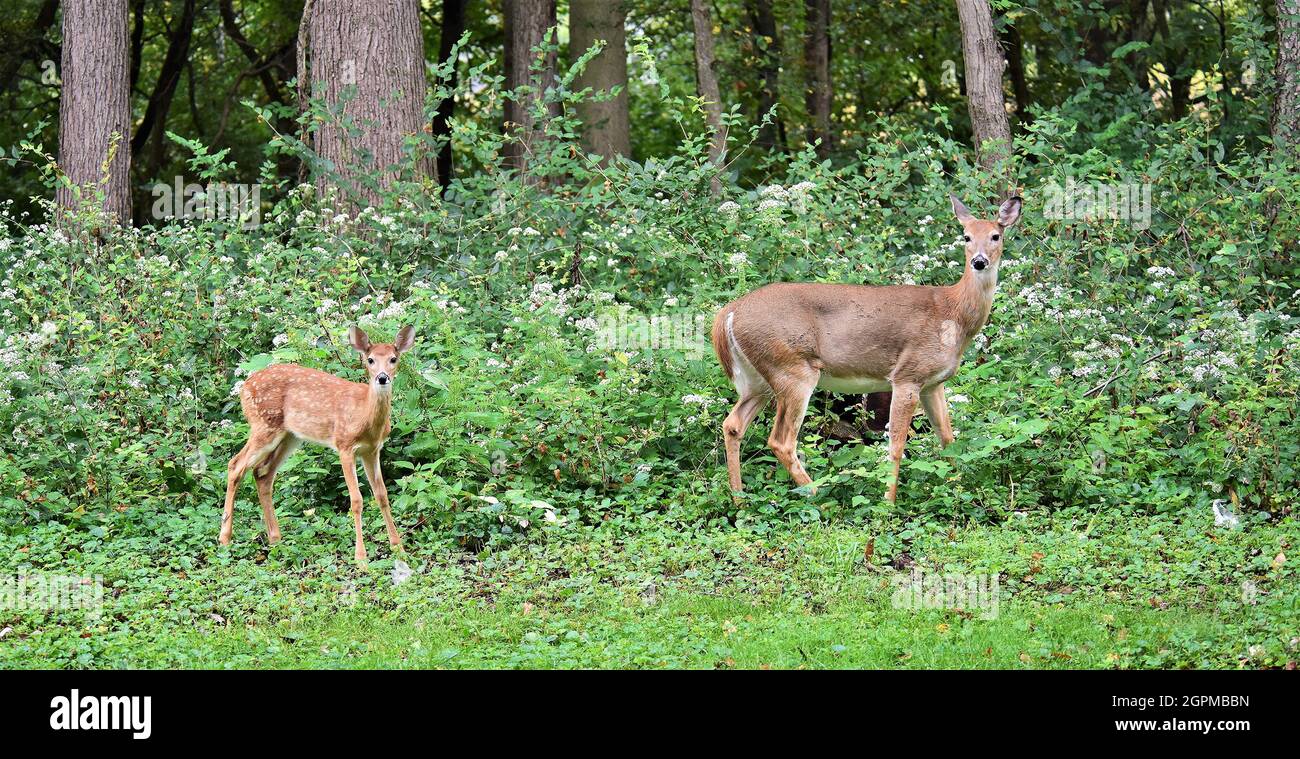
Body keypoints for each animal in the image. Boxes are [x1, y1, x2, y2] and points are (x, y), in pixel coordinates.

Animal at [219, 325, 416, 566]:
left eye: (393, 359)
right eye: (370, 360)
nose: (382, 378)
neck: (364, 416)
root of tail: (243, 387)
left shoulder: (372, 450)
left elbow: (382, 495)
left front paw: (399, 548)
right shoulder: (344, 445)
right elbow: (356, 500)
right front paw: (361, 558)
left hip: (290, 436)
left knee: (262, 473)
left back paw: (275, 538)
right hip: (263, 425)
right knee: (235, 465)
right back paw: (225, 538)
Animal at [711, 195, 1022, 503]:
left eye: (995, 235)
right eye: (966, 236)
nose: (979, 261)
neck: (952, 312)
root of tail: (729, 313)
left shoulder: (933, 383)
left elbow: (948, 438)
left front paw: (957, 489)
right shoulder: (907, 375)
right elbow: (896, 444)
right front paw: (888, 502)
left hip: (759, 379)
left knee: (733, 424)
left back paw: (739, 499)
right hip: (791, 369)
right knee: (781, 440)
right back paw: (819, 497)